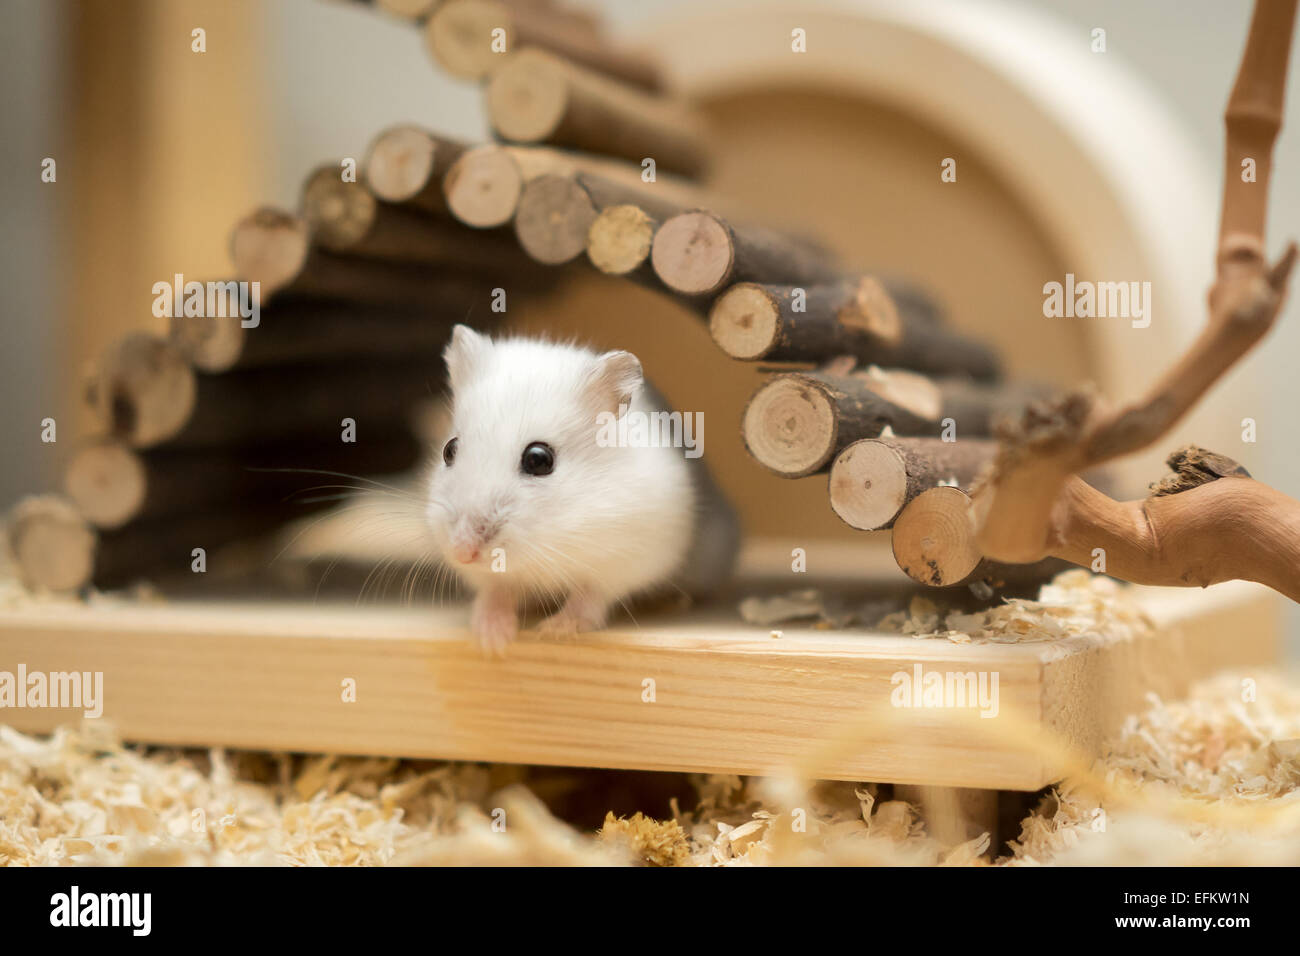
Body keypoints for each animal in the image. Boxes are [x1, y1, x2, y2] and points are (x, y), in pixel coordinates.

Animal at [425, 325, 739, 654]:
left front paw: (554, 632)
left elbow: (589, 595)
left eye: (539, 459)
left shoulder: (623, 559)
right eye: (449, 450)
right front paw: (491, 641)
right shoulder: (492, 578)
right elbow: (495, 590)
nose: (462, 552)